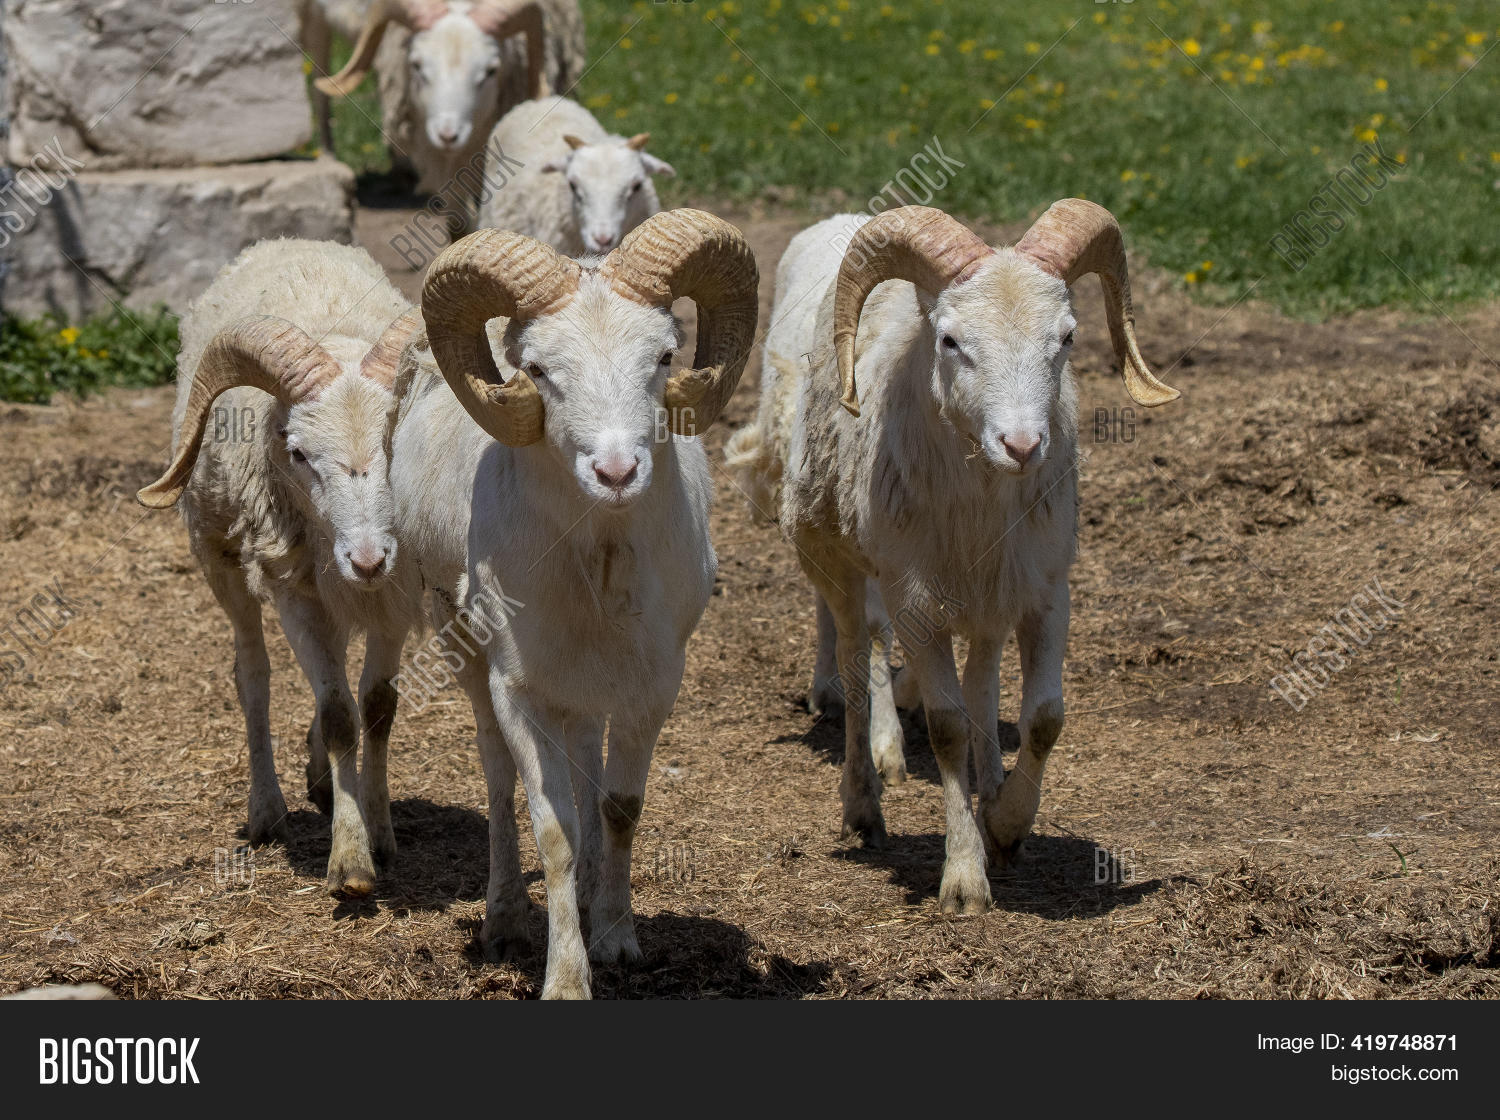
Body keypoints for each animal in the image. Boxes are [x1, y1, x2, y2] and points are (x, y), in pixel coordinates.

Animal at [136, 238, 427, 896]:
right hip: (220, 553)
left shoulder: (397, 594)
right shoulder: (295, 592)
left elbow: (377, 710)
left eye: (398, 444)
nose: (368, 558)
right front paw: (351, 864)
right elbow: (341, 714)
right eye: (297, 452)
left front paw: (380, 831)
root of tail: (293, 241)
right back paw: (266, 811)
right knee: (252, 674)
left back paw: (323, 781)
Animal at [391, 208, 758, 997]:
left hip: (589, 692)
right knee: (498, 776)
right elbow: (553, 827)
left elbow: (616, 810)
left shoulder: (653, 687)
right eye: (538, 371)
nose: (617, 472)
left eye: (664, 355)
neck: (598, 567)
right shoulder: (521, 691)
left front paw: (616, 939)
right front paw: (566, 976)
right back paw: (503, 922)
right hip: (465, 652)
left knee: (589, 770)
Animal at [728, 201, 1180, 913]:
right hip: (836, 560)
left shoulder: (1046, 591)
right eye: (950, 341)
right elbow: (945, 727)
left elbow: (1043, 719)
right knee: (855, 659)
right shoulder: (915, 603)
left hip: (989, 594)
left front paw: (1009, 823)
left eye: (1067, 337)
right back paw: (864, 804)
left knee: (983, 677)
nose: (1022, 445)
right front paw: (965, 878)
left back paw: (989, 787)